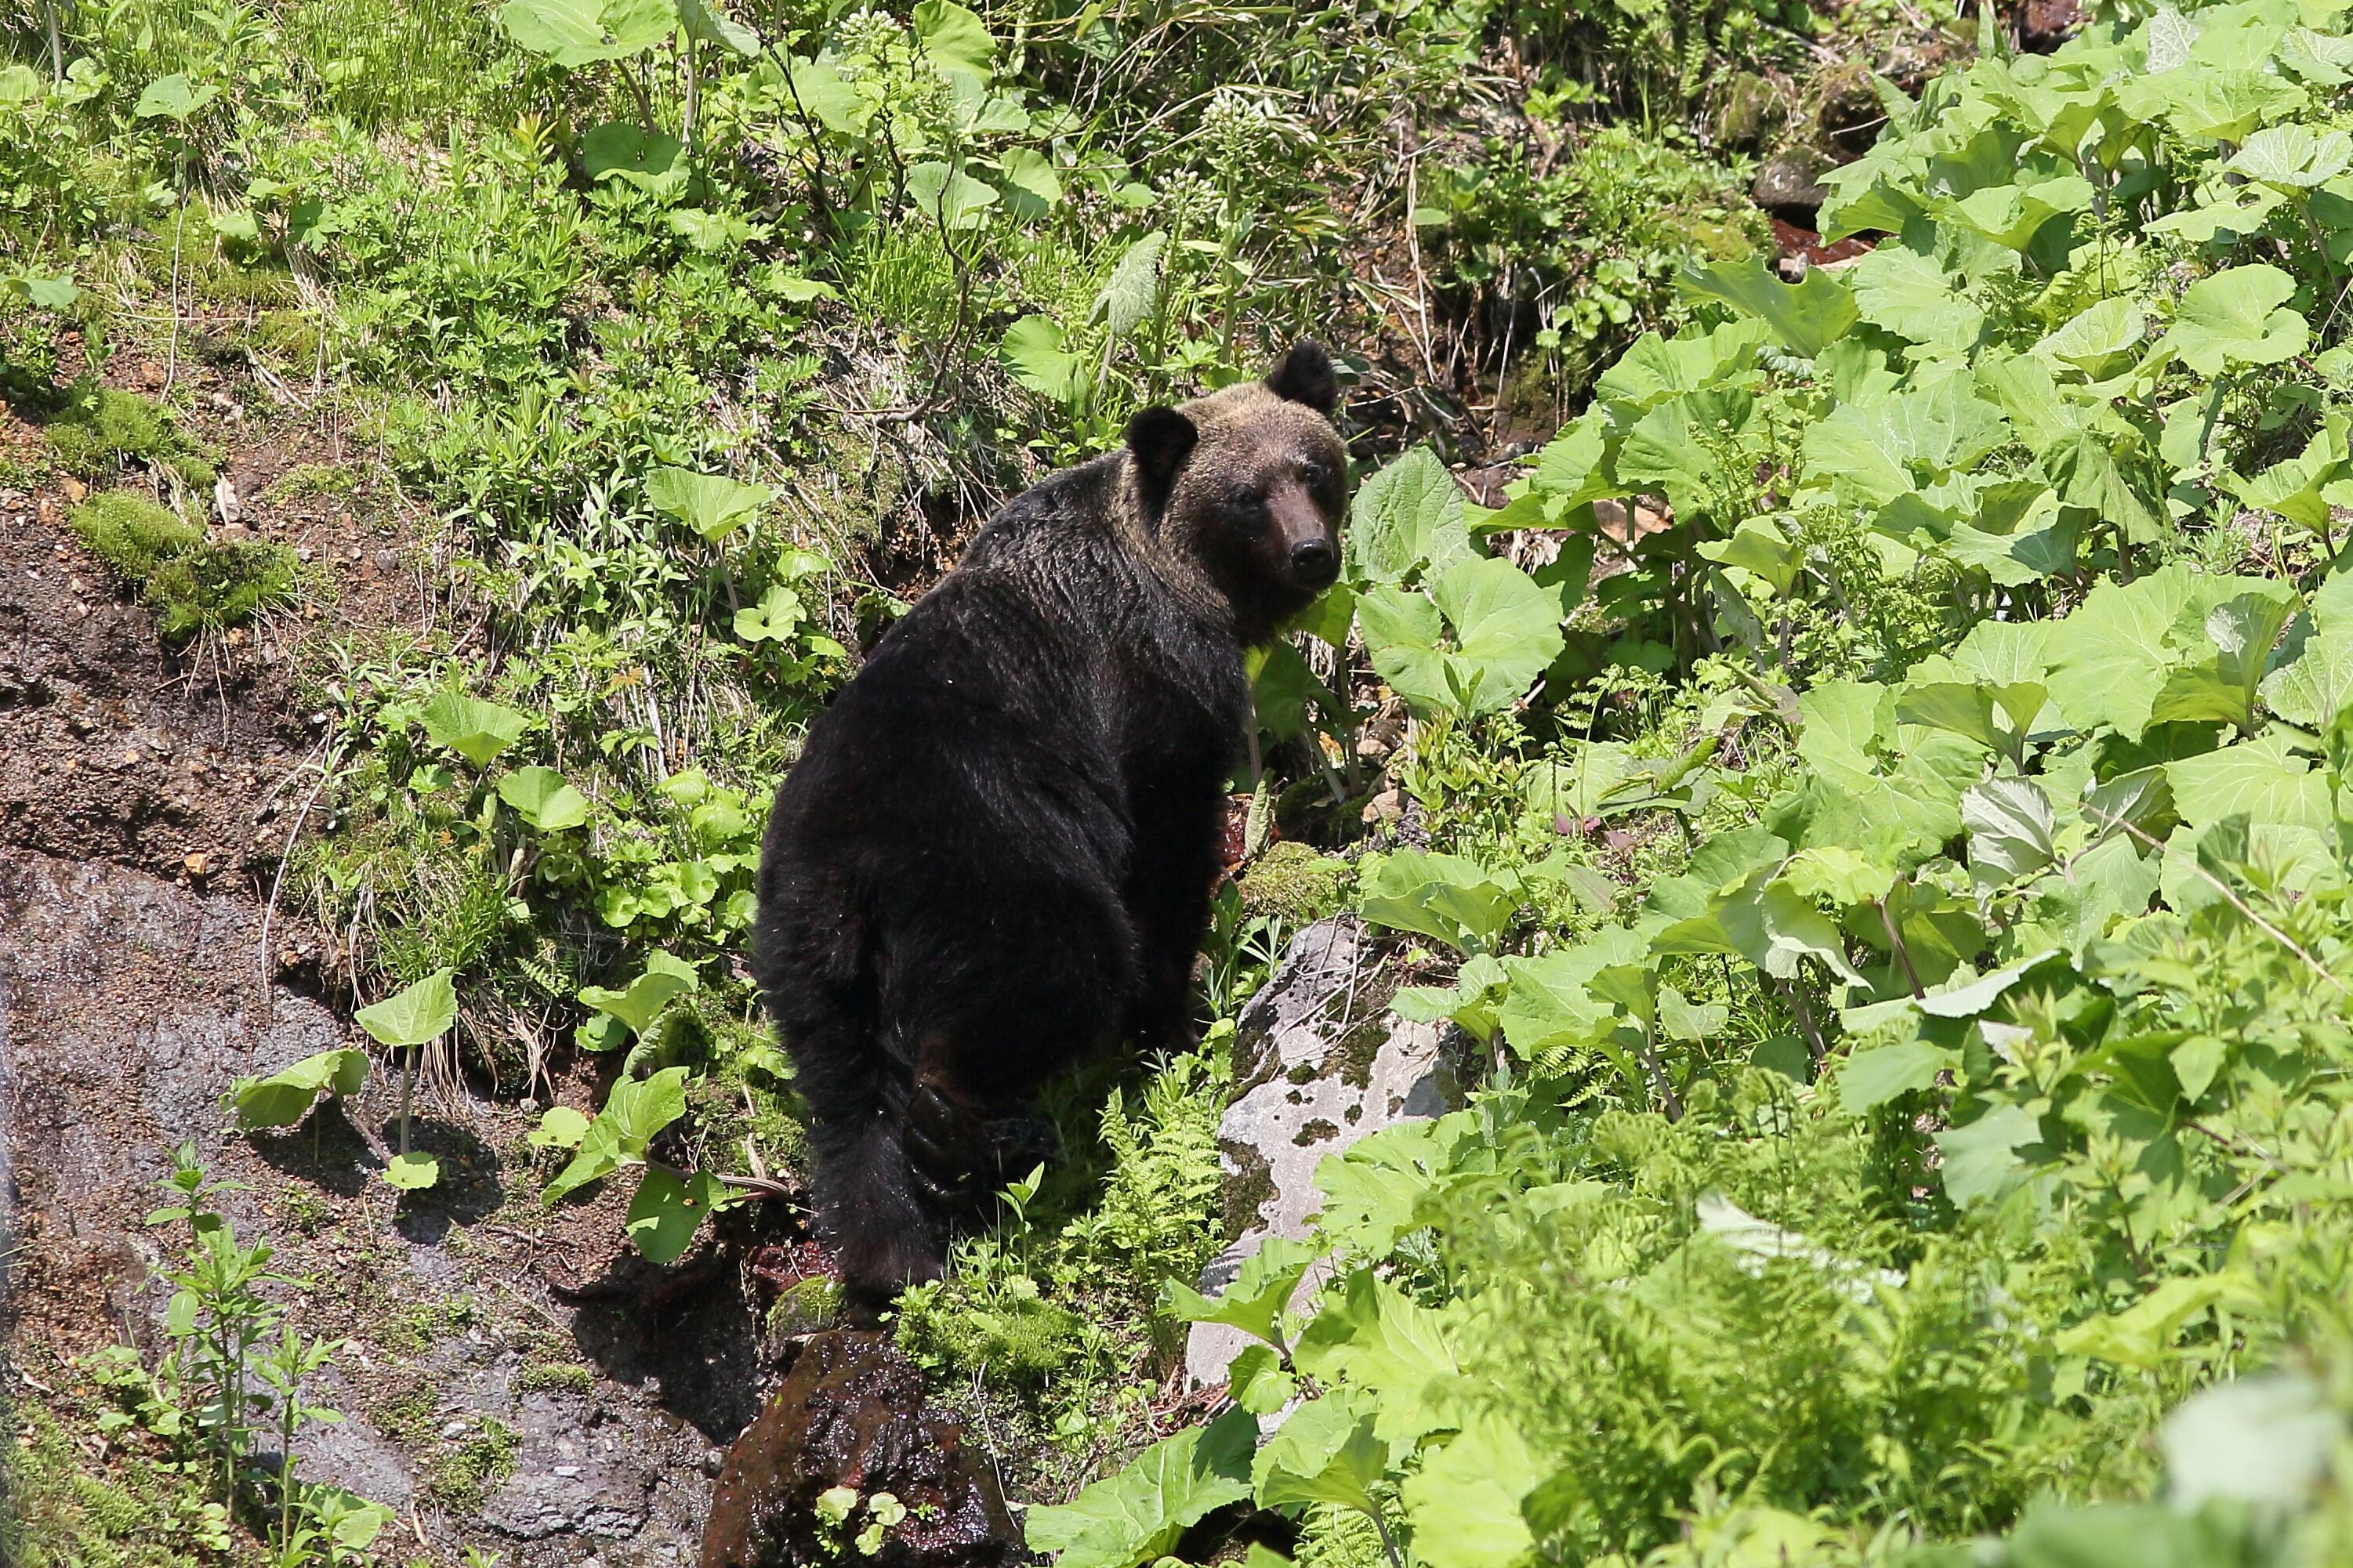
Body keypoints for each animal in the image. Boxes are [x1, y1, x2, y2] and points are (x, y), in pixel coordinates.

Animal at [753, 341, 1347, 1309]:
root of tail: (848, 868)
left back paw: (894, 1251)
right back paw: (960, 1130)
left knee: (844, 1106)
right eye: (1247, 494)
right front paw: (1173, 1015)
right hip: (990, 868)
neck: (1185, 582)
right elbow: (1167, 858)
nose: (1313, 553)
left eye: (1313, 470)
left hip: (805, 953)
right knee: (1049, 973)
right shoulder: (1150, 699)